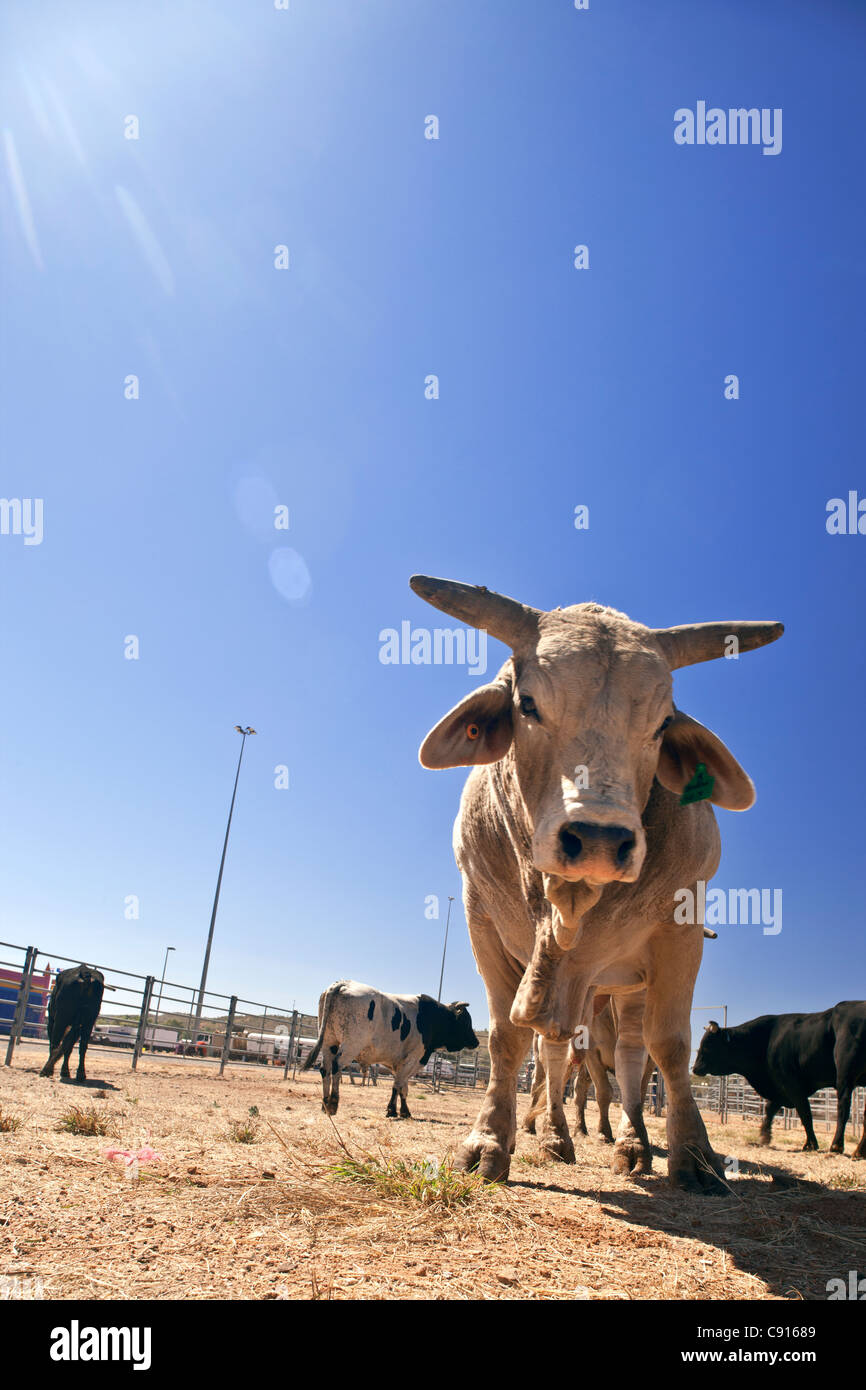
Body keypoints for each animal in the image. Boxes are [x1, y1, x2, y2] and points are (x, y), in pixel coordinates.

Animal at [302, 980, 479, 1118]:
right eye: (466, 1021)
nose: (476, 1041)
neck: (432, 1018)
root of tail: (344, 983)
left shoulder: (399, 1063)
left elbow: (403, 1087)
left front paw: (404, 1111)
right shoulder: (413, 1058)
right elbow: (398, 1085)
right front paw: (392, 1110)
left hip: (329, 1042)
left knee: (325, 1069)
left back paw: (324, 1104)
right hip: (350, 1044)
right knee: (337, 1067)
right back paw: (333, 1104)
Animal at [523, 997, 656, 1151]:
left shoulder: (649, 1060)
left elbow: (639, 1095)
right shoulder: (592, 1051)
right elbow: (604, 1092)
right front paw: (604, 1133)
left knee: (577, 1088)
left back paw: (580, 1130)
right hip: (541, 1055)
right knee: (538, 1084)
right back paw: (529, 1125)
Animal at [693, 1004, 866, 1157]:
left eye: (708, 1045)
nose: (694, 1068)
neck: (765, 1041)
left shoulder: (792, 1085)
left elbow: (805, 1114)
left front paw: (810, 1144)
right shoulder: (779, 1089)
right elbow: (770, 1109)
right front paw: (764, 1136)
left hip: (844, 1077)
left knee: (843, 1108)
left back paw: (837, 1146)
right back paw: (859, 1151)